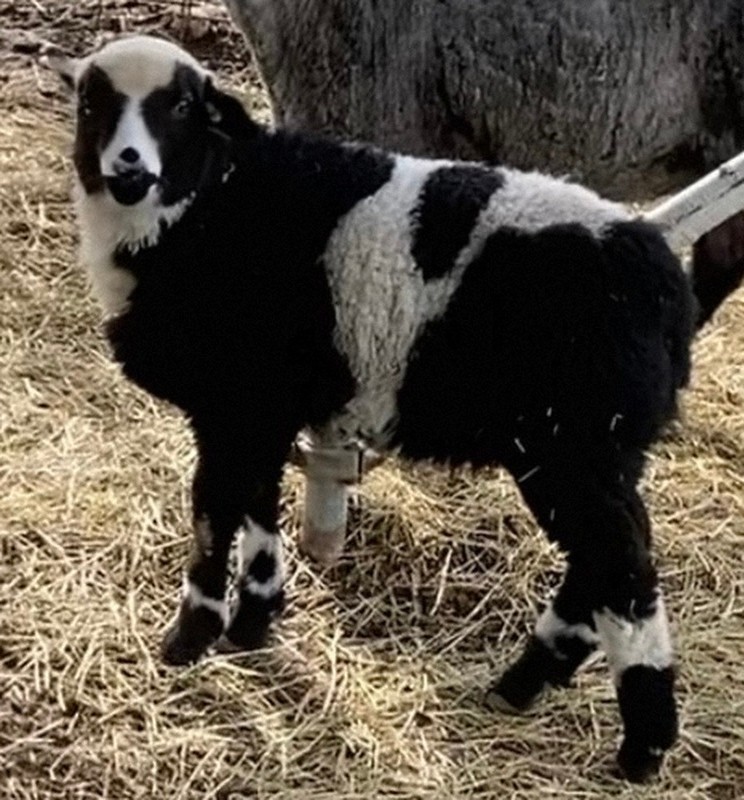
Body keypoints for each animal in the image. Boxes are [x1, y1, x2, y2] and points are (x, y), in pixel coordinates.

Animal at [44, 35, 695, 783]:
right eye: (90, 103)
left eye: (181, 106)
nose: (130, 167)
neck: (209, 203)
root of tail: (665, 285)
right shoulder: (260, 406)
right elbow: (258, 504)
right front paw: (254, 621)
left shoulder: (234, 401)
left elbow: (212, 511)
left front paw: (189, 638)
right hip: (595, 446)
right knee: (604, 558)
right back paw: (523, 685)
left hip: (576, 438)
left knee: (622, 565)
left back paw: (642, 745)